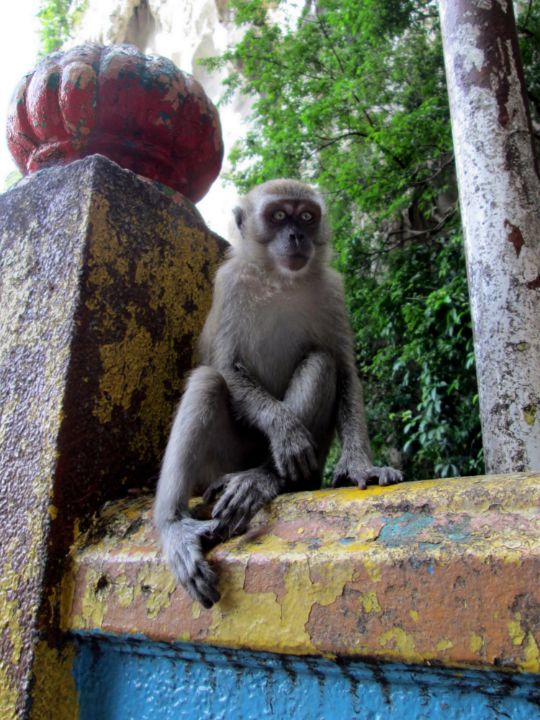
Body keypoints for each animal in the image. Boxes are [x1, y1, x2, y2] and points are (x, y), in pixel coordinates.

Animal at [154, 179, 403, 608]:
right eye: (278, 216)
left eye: (306, 216)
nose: (296, 236)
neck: (281, 280)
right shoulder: (231, 283)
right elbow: (226, 367)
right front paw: (283, 428)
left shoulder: (332, 290)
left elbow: (345, 371)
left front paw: (359, 465)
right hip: (220, 463)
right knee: (207, 382)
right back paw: (174, 525)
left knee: (321, 361)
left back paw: (264, 479)